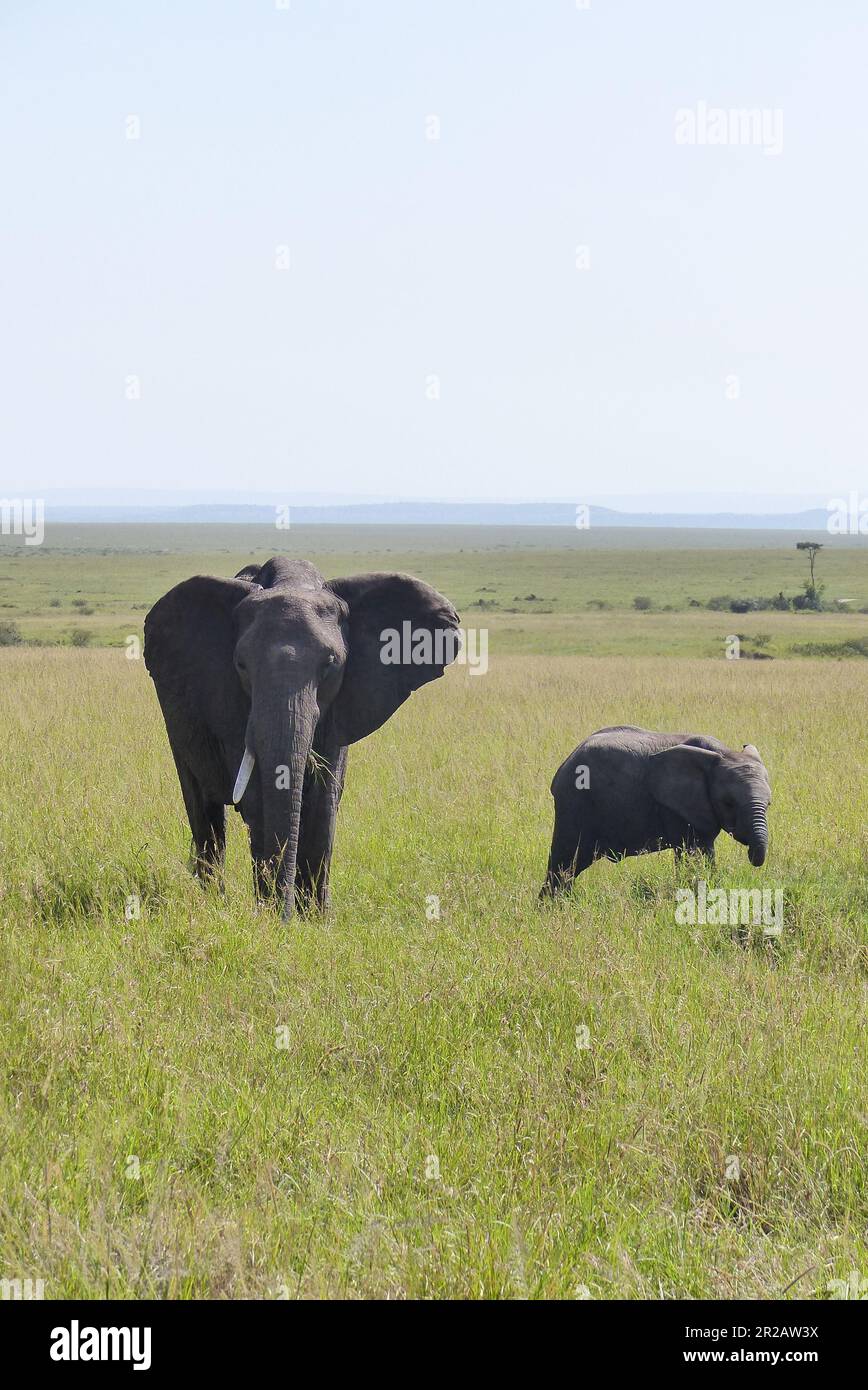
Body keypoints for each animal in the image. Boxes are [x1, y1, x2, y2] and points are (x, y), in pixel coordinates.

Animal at [144, 556, 460, 916]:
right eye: (241, 665)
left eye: (330, 664)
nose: (284, 917)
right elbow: (259, 799)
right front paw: (271, 917)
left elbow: (324, 803)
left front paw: (316, 920)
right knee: (202, 809)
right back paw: (211, 902)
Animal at [541, 726, 771, 897]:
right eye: (728, 803)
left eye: (768, 804)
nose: (752, 854)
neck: (724, 753)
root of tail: (565, 764)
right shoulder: (678, 808)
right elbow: (692, 852)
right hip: (575, 803)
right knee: (564, 862)